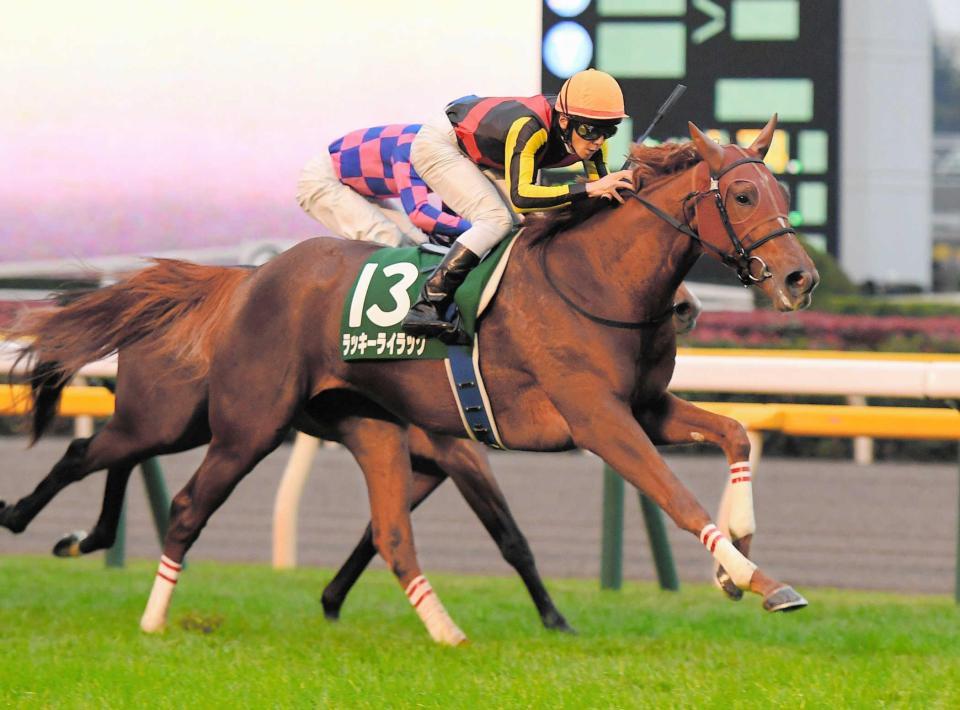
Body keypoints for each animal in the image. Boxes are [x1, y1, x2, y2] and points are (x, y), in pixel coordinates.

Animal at [11, 117, 818, 644]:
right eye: (742, 196)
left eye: (782, 191)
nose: (801, 278)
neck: (594, 278)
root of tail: (248, 280)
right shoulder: (596, 419)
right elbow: (673, 497)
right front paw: (757, 579)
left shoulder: (643, 407)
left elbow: (735, 433)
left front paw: (739, 550)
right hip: (236, 424)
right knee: (165, 493)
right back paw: (136, 605)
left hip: (354, 424)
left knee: (389, 531)